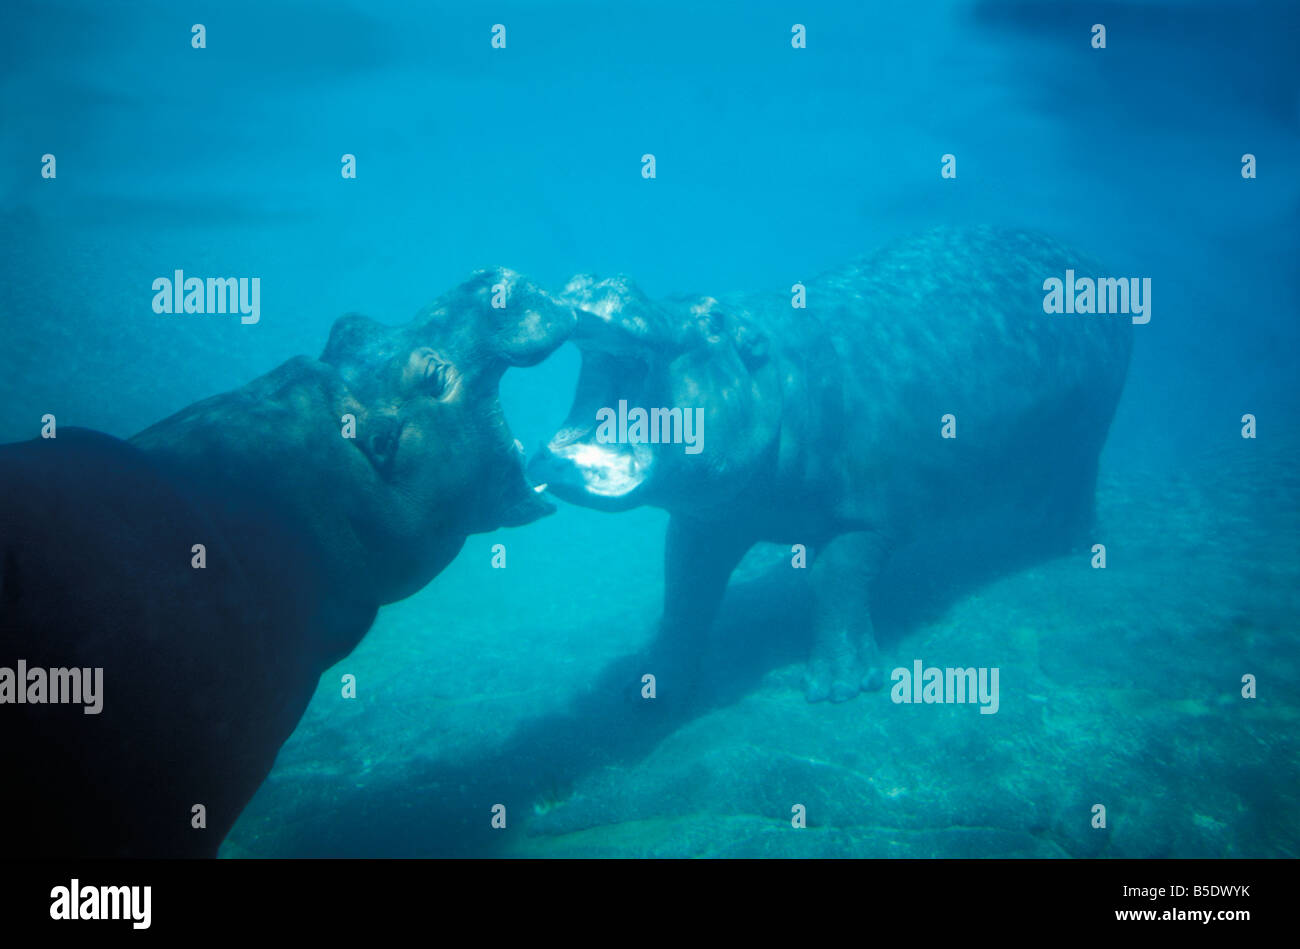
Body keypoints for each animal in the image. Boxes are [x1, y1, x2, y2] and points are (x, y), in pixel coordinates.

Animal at [529, 226, 1133, 703]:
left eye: (714, 319)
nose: (605, 279)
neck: (780, 371)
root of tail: (1094, 259)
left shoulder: (872, 515)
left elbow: (833, 580)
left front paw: (839, 687)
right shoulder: (708, 518)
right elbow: (684, 594)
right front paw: (653, 688)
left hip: (1094, 423)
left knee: (1080, 476)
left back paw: (1071, 543)